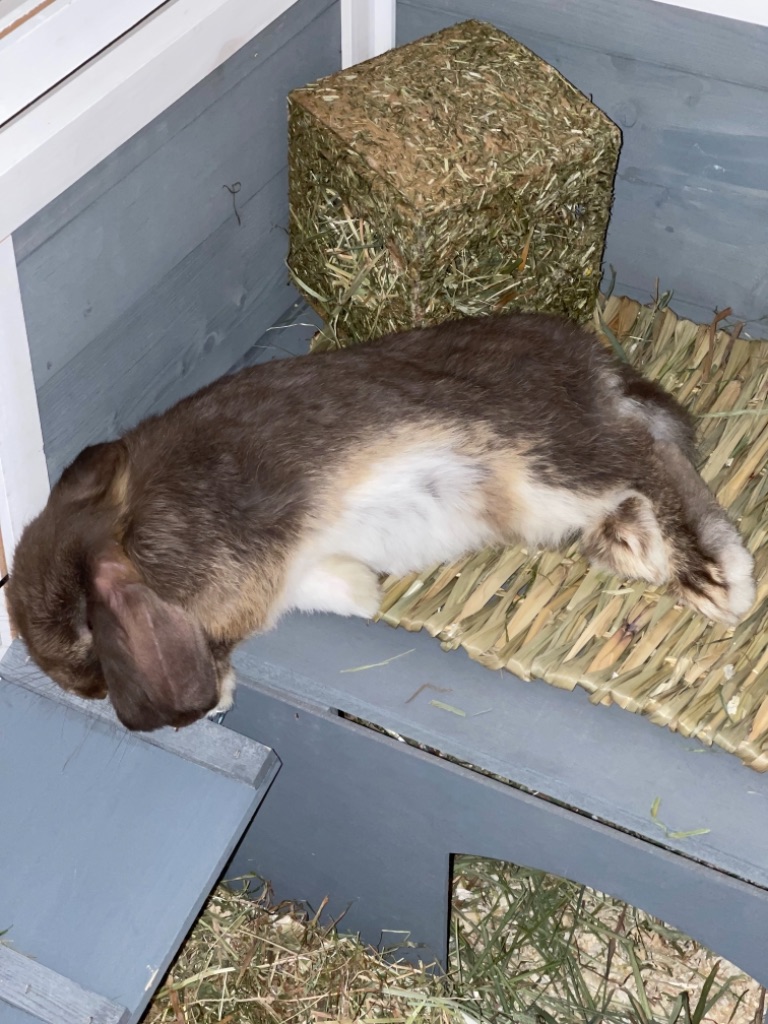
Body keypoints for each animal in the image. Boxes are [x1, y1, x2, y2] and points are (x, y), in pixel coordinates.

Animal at [6, 313, 755, 732]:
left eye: (88, 636)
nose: (91, 692)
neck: (132, 529)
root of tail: (595, 366)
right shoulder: (295, 573)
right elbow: (335, 590)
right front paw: (364, 593)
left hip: (547, 459)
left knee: (649, 458)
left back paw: (717, 577)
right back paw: (632, 544)